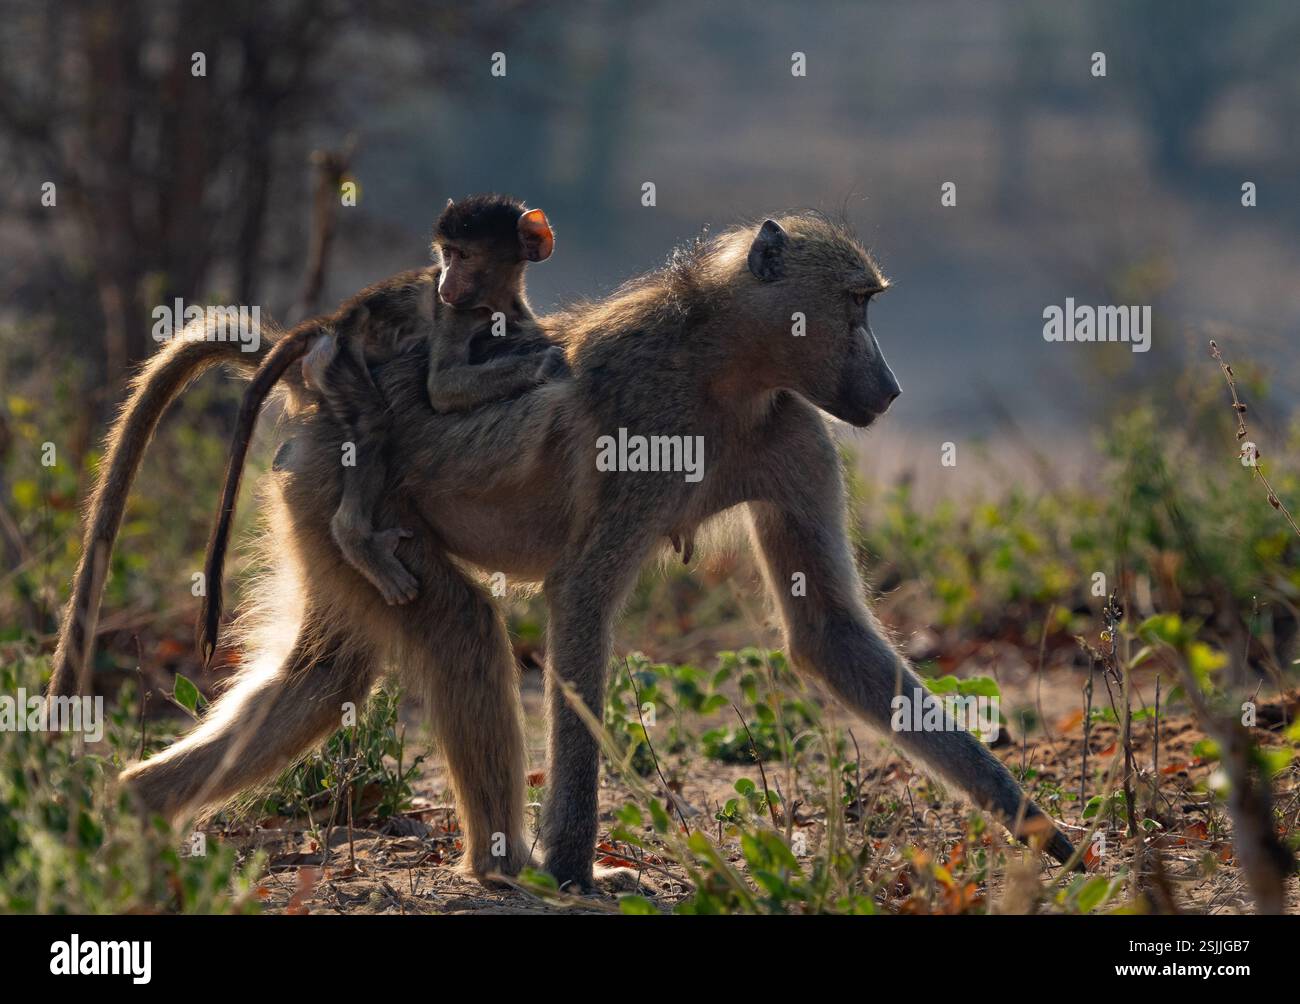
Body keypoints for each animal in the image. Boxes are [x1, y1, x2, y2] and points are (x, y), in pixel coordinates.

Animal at [197, 195, 566, 663]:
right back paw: (353, 537)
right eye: (446, 254)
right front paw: (546, 364)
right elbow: (443, 387)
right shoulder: (454, 315)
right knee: (372, 422)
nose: (445, 283)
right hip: (336, 364)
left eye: (463, 255)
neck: (493, 300)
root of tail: (331, 323)